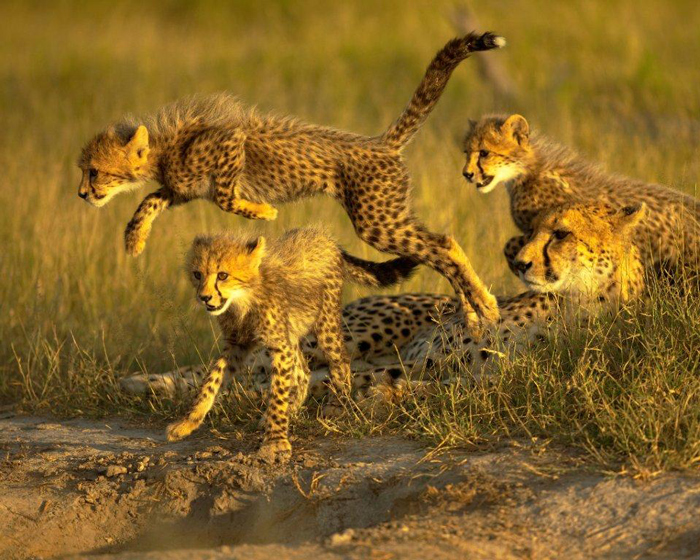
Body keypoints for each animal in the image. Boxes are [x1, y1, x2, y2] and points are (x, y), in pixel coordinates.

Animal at [77, 32, 507, 333]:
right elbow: (150, 200)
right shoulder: (181, 189)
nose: (82, 193)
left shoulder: (230, 142)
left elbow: (224, 195)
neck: (164, 147)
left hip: (376, 221)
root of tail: (380, 141)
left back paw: (483, 305)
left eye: (93, 170)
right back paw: (473, 311)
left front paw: (262, 211)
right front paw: (134, 240)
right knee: (441, 248)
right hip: (389, 216)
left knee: (442, 246)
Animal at [123, 202, 646, 411]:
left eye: (560, 234)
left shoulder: (483, 376)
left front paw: (382, 396)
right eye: (534, 229)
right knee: (250, 366)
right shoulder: (427, 358)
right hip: (357, 334)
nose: (518, 261)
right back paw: (148, 383)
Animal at [163, 226, 417, 462]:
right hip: (293, 332)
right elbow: (211, 381)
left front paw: (275, 442)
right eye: (197, 274)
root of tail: (323, 237)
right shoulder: (237, 344)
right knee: (304, 370)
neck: (244, 299)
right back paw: (291, 408)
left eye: (223, 275)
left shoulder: (278, 345)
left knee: (340, 360)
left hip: (325, 322)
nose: (204, 297)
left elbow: (277, 392)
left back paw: (336, 405)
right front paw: (187, 423)